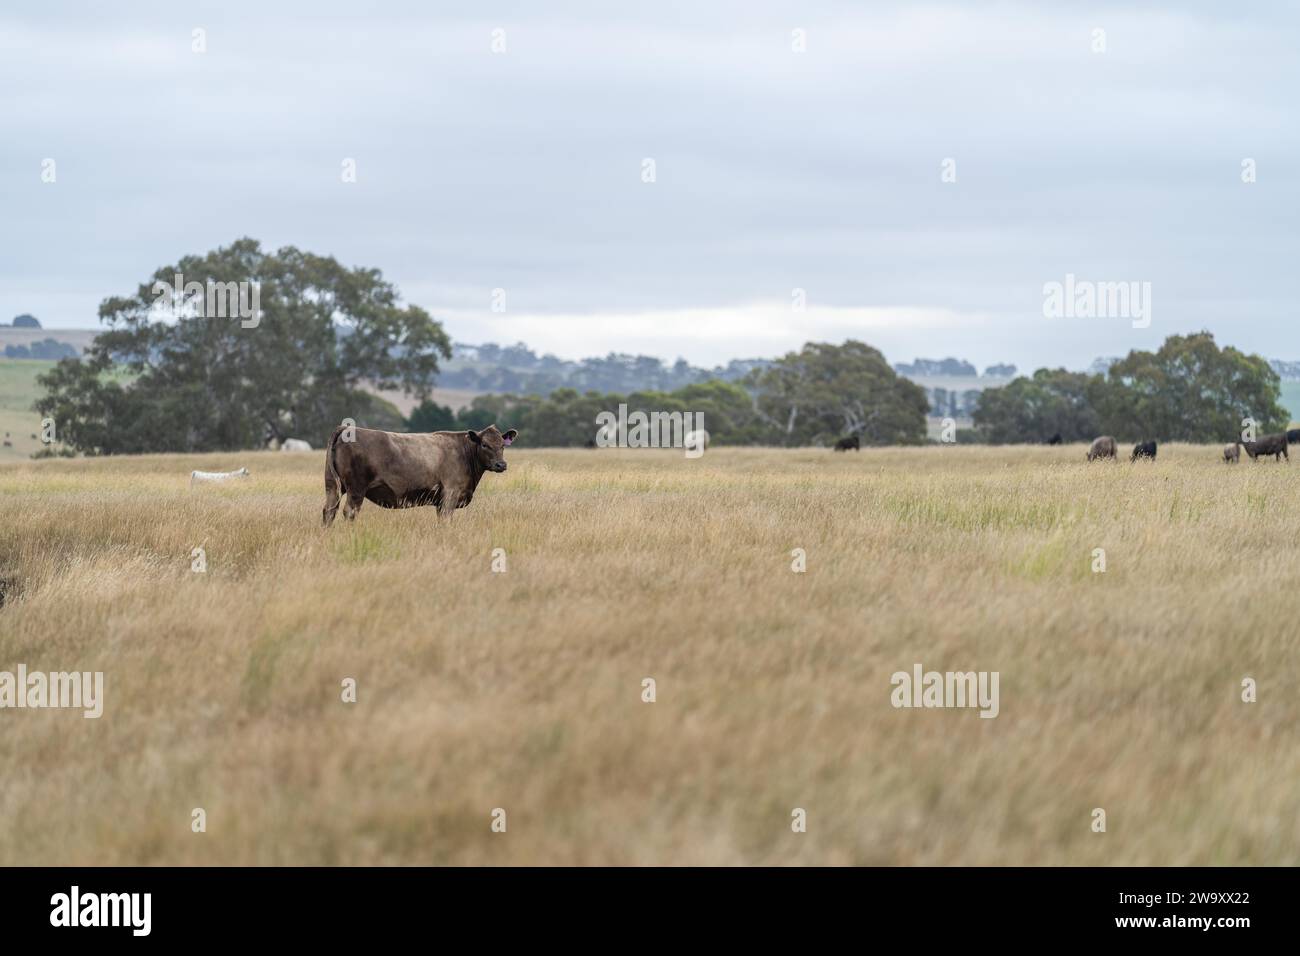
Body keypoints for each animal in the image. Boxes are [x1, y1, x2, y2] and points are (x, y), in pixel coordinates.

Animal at [323, 424, 518, 526]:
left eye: (503, 445)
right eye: (484, 445)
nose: (501, 464)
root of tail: (346, 428)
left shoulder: (440, 501)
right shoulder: (450, 494)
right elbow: (446, 520)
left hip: (332, 486)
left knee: (329, 511)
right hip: (356, 489)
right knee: (349, 512)